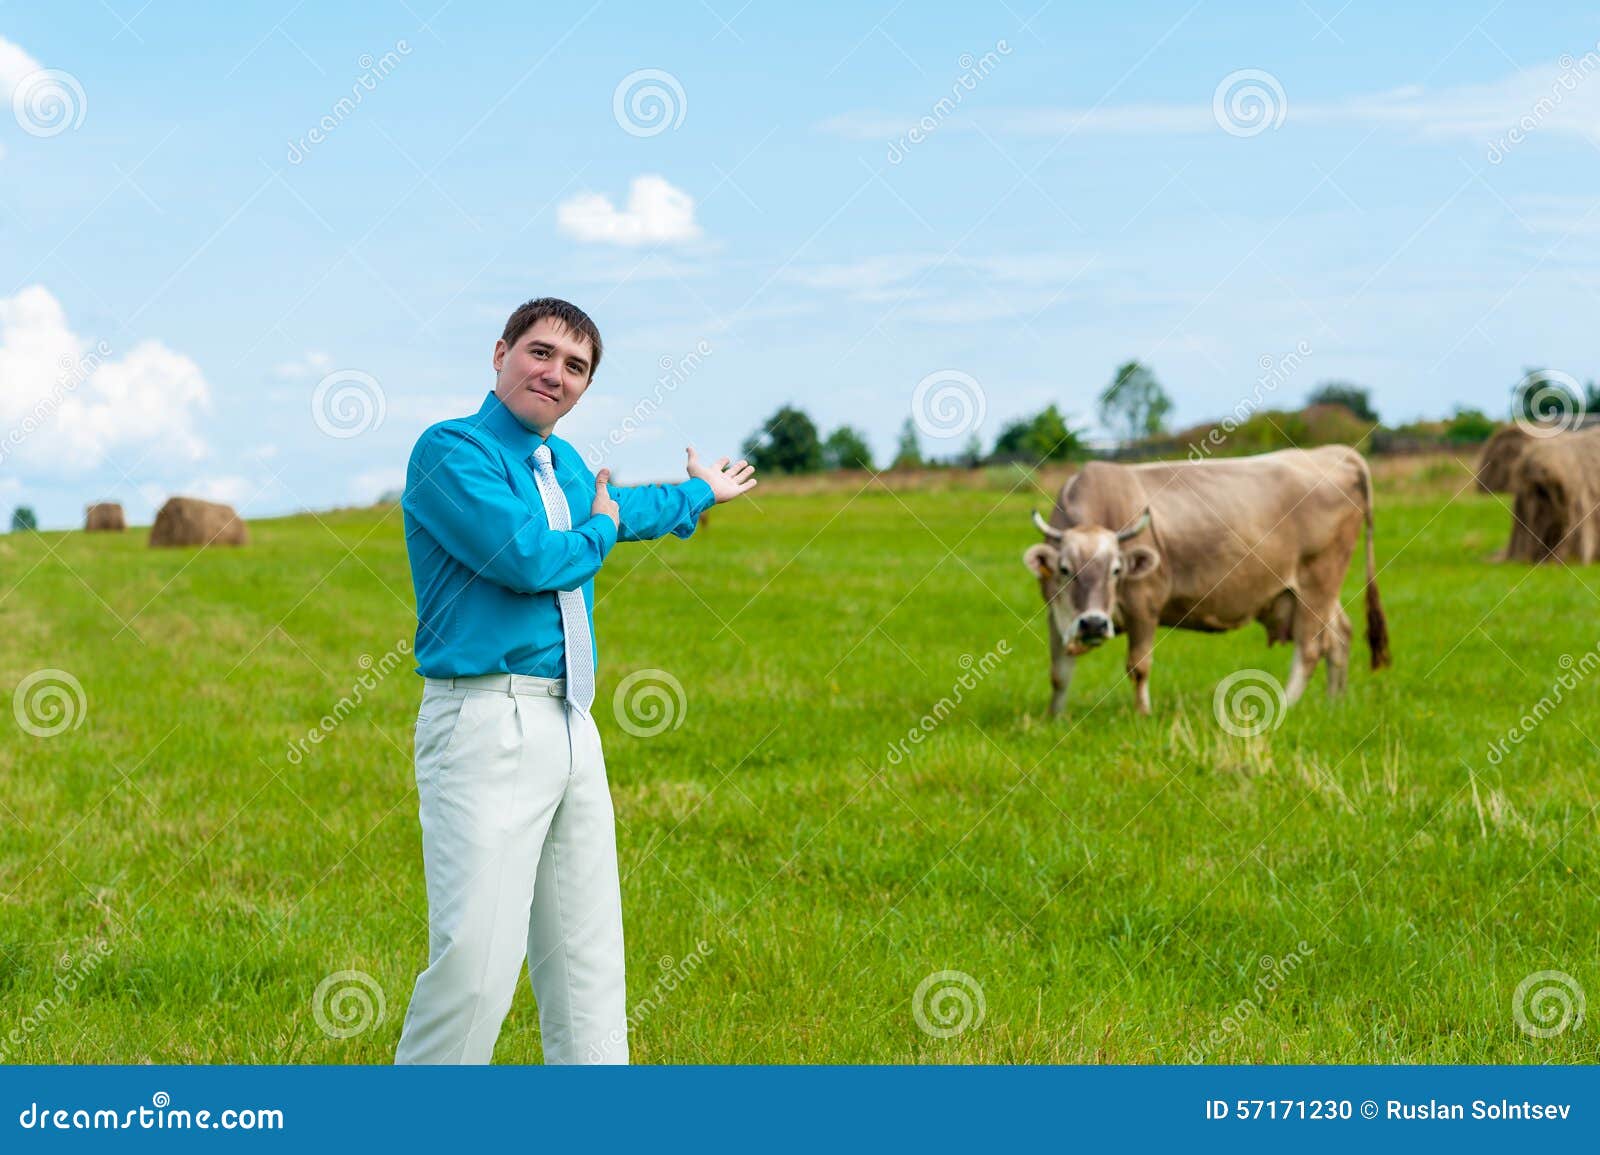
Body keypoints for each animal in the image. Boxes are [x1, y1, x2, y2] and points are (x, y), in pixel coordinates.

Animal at [1022, 445, 1390, 716]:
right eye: (1065, 569)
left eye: (1116, 570)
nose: (1095, 624)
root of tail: (1334, 452)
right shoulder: (1055, 614)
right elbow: (1059, 672)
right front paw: (1054, 719)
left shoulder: (1144, 605)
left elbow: (1138, 666)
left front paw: (1142, 715)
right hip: (1313, 593)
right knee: (1339, 636)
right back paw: (1334, 703)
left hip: (1318, 582)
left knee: (1311, 649)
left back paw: (1285, 705)